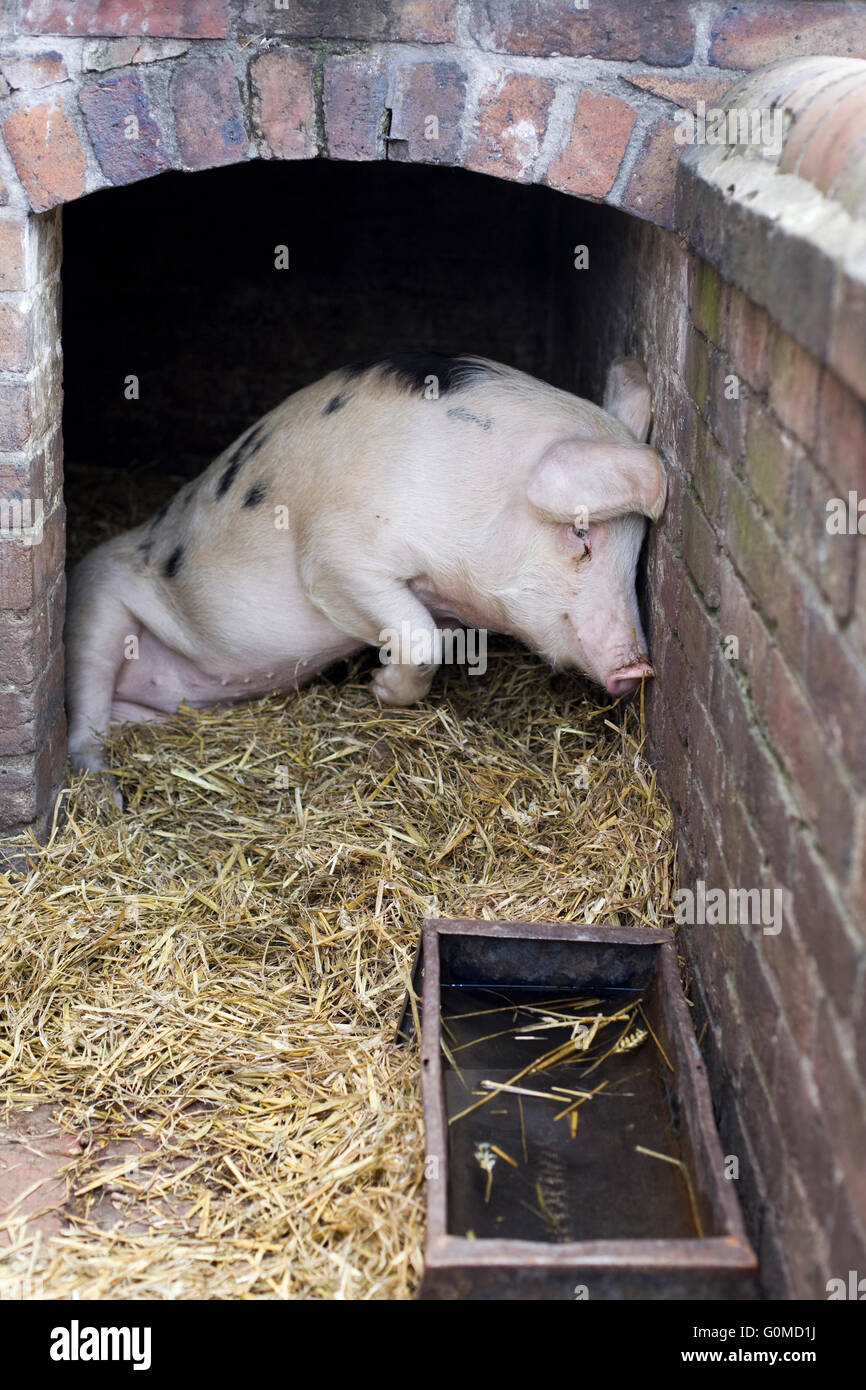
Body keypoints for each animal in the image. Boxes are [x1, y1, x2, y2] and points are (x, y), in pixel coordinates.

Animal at [65, 353, 666, 779]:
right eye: (581, 535)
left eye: (638, 549)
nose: (638, 668)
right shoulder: (336, 556)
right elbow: (420, 636)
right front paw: (377, 686)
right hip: (96, 603)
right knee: (84, 718)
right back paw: (104, 789)